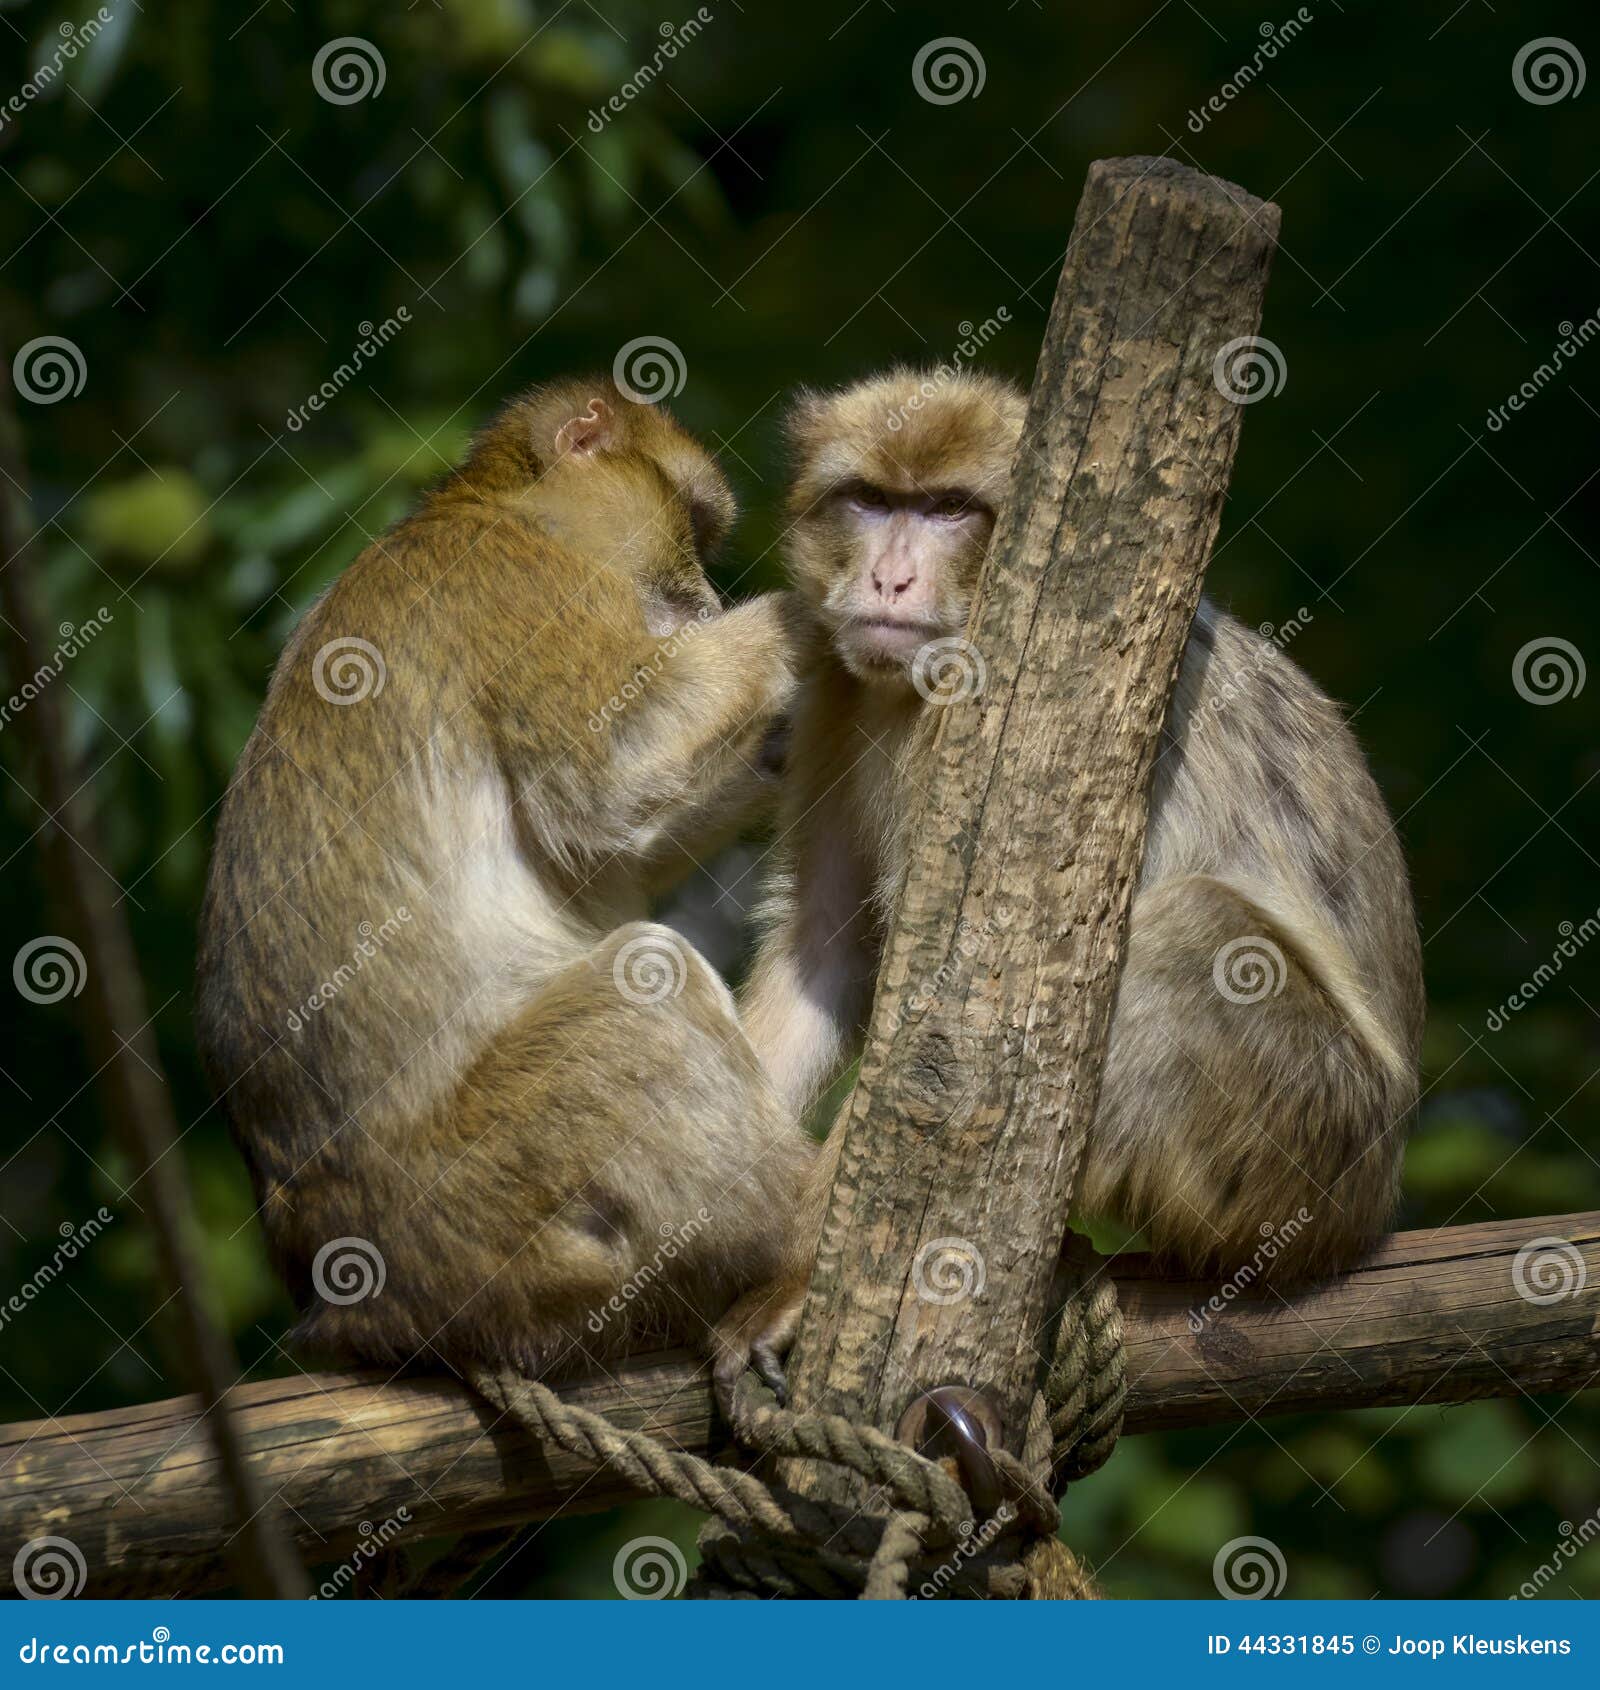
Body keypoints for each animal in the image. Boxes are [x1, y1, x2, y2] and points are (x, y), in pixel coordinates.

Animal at [195, 377, 813, 1383]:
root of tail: (352, 1310)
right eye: (691, 526)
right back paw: (793, 1255)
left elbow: (617, 848)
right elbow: (611, 777)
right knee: (644, 1004)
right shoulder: (521, 582)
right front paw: (813, 614)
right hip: (489, 1197)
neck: (502, 510)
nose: (707, 600)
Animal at [715, 366, 1424, 1392]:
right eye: (871, 500)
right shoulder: (830, 680)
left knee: (1191, 932)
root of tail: (1375, 1214)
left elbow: (943, 1024)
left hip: (1318, 1147)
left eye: (949, 510)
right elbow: (829, 949)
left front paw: (802, 1290)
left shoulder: (990, 726)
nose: (890, 578)